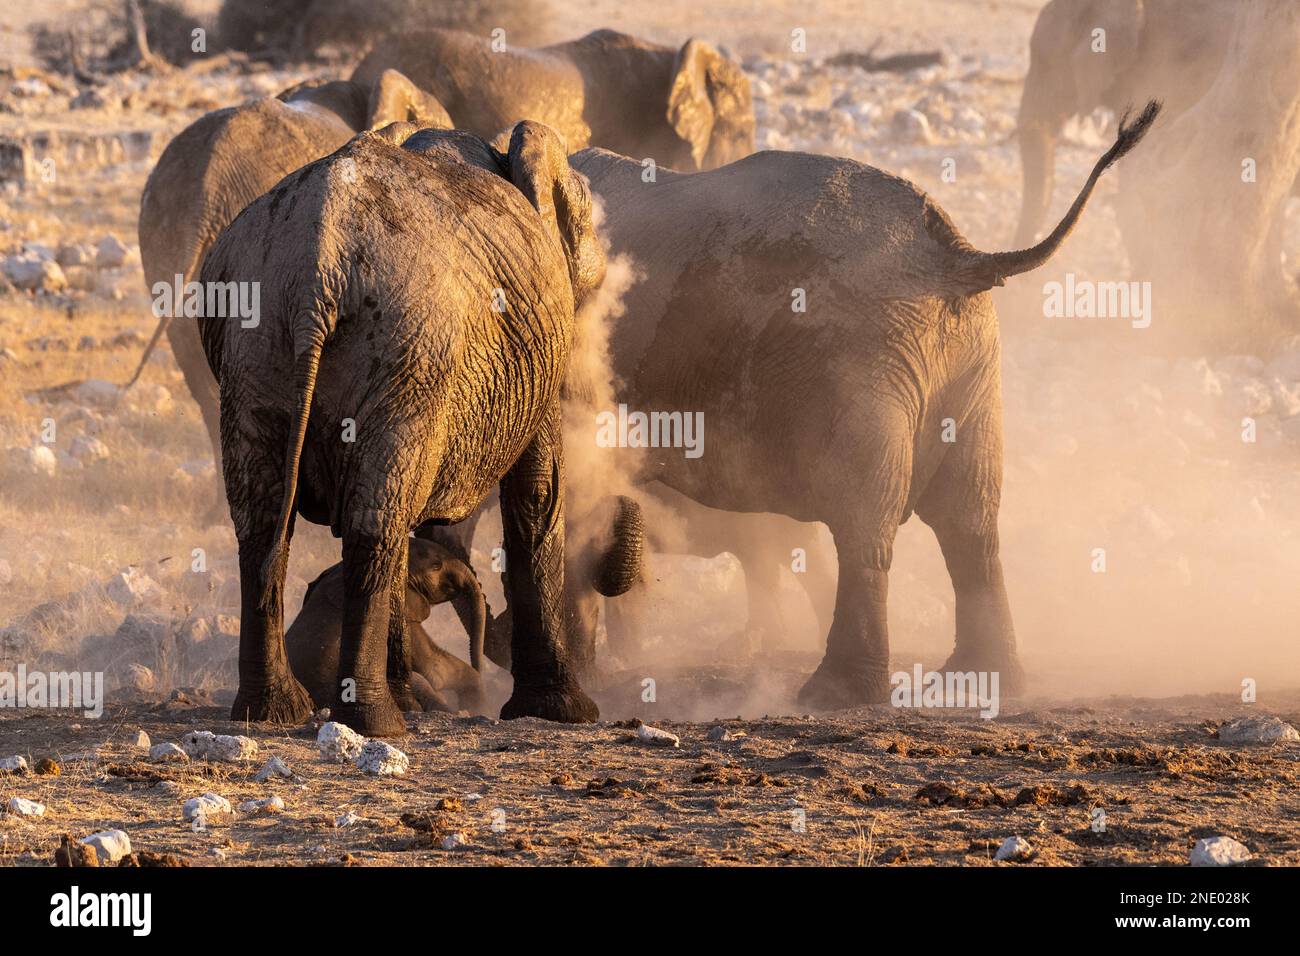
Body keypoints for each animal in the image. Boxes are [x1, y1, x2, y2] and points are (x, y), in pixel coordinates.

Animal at [565, 101, 1162, 710]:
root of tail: (955, 255)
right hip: (965, 362)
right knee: (969, 519)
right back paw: (975, 681)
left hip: (860, 359)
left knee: (866, 520)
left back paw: (835, 693)